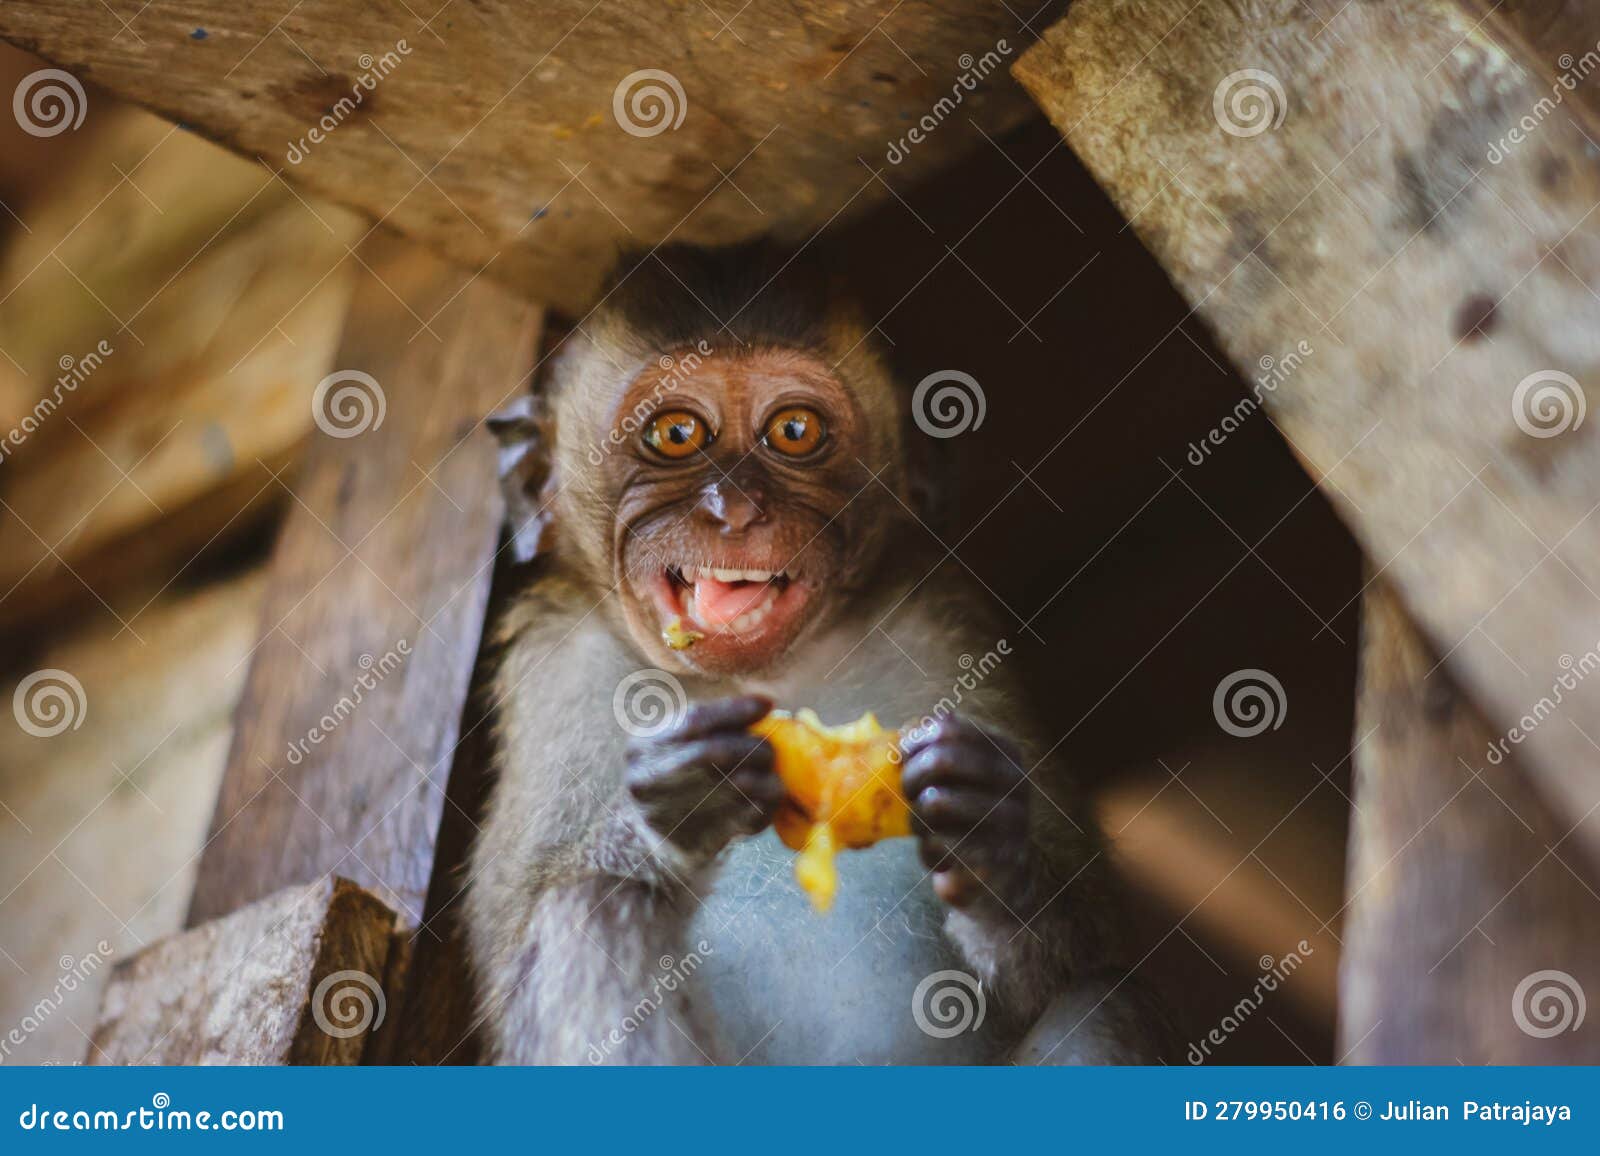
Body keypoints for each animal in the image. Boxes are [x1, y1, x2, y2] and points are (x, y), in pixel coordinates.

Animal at [465, 242, 1175, 1065]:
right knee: (592, 914)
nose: (735, 510)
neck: (764, 677)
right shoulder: (555, 665)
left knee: (1101, 999)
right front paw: (670, 810)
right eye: (676, 434)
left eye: (794, 430)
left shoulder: (947, 625)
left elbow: (1089, 957)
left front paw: (996, 852)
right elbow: (520, 953)